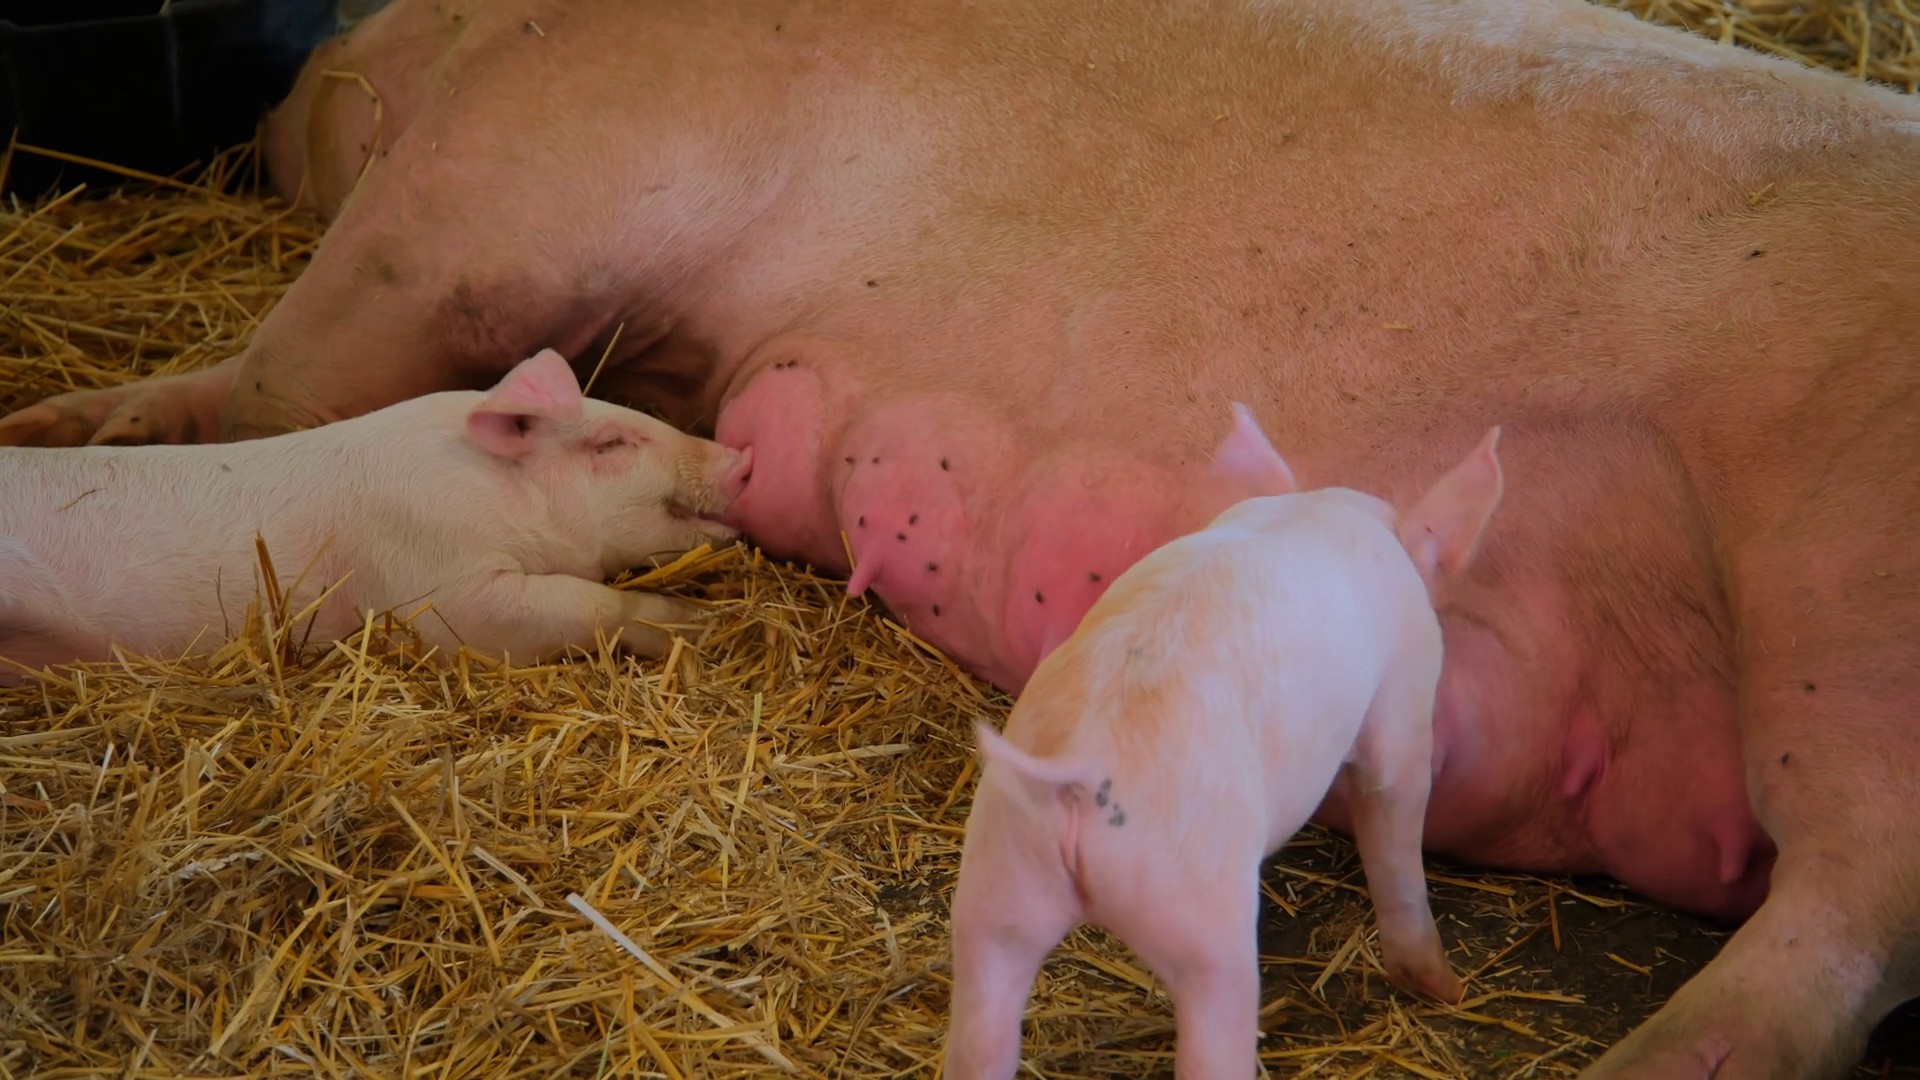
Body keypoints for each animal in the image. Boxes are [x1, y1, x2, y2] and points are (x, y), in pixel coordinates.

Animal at [946, 407, 1499, 1079]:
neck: (1318, 507)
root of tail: (1081, 774)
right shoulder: (1405, 689)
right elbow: (1393, 808)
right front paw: (1446, 988)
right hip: (1198, 911)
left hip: (996, 881)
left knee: (981, 1030)